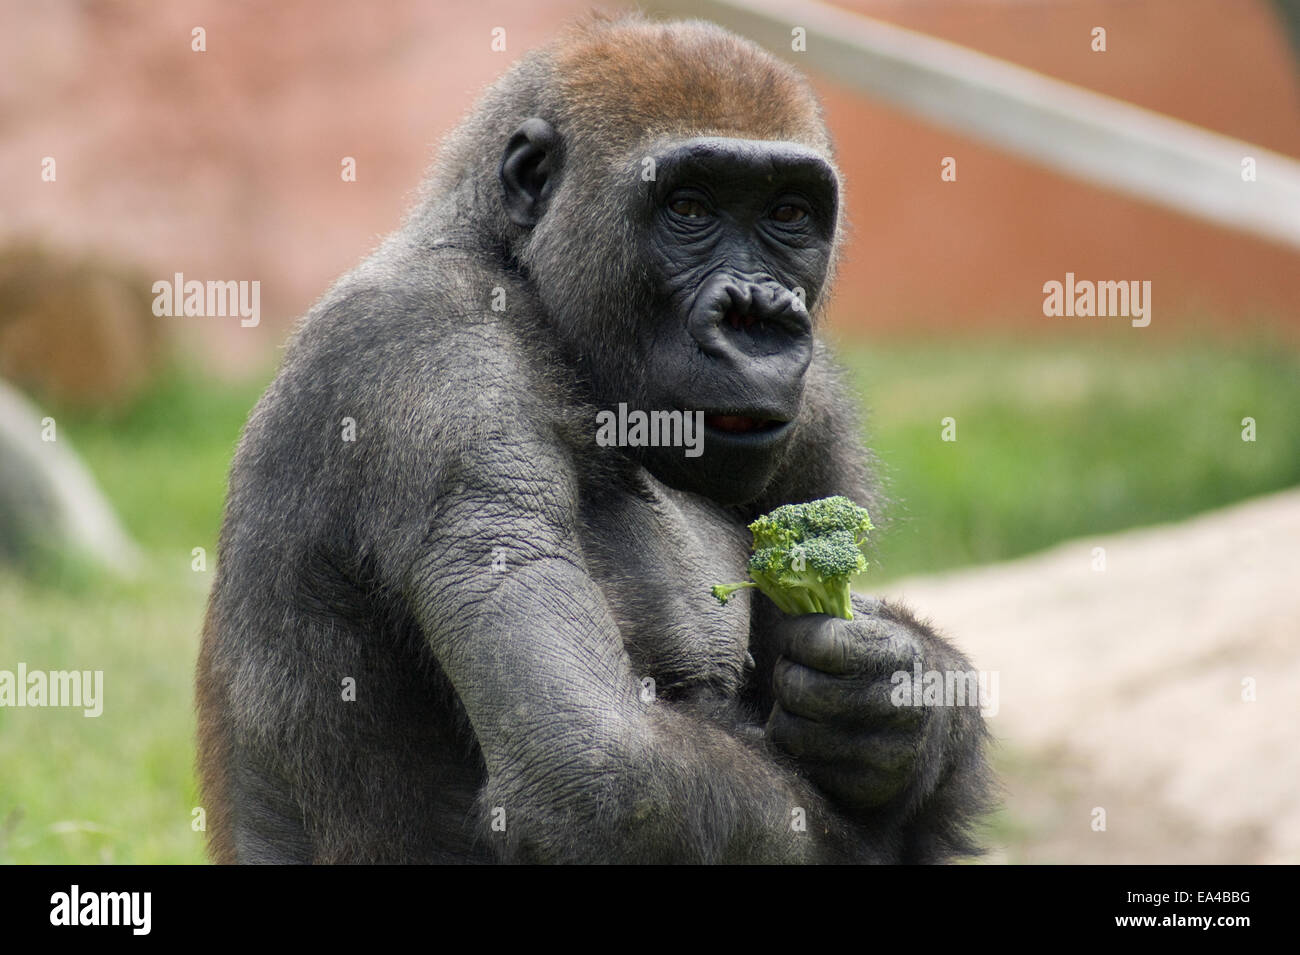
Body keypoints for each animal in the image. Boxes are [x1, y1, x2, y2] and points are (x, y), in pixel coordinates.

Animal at [196, 13, 993, 863]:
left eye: (788, 215)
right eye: (688, 207)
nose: (759, 319)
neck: (515, 271)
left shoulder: (814, 416)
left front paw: (897, 705)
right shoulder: (432, 360)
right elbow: (598, 774)